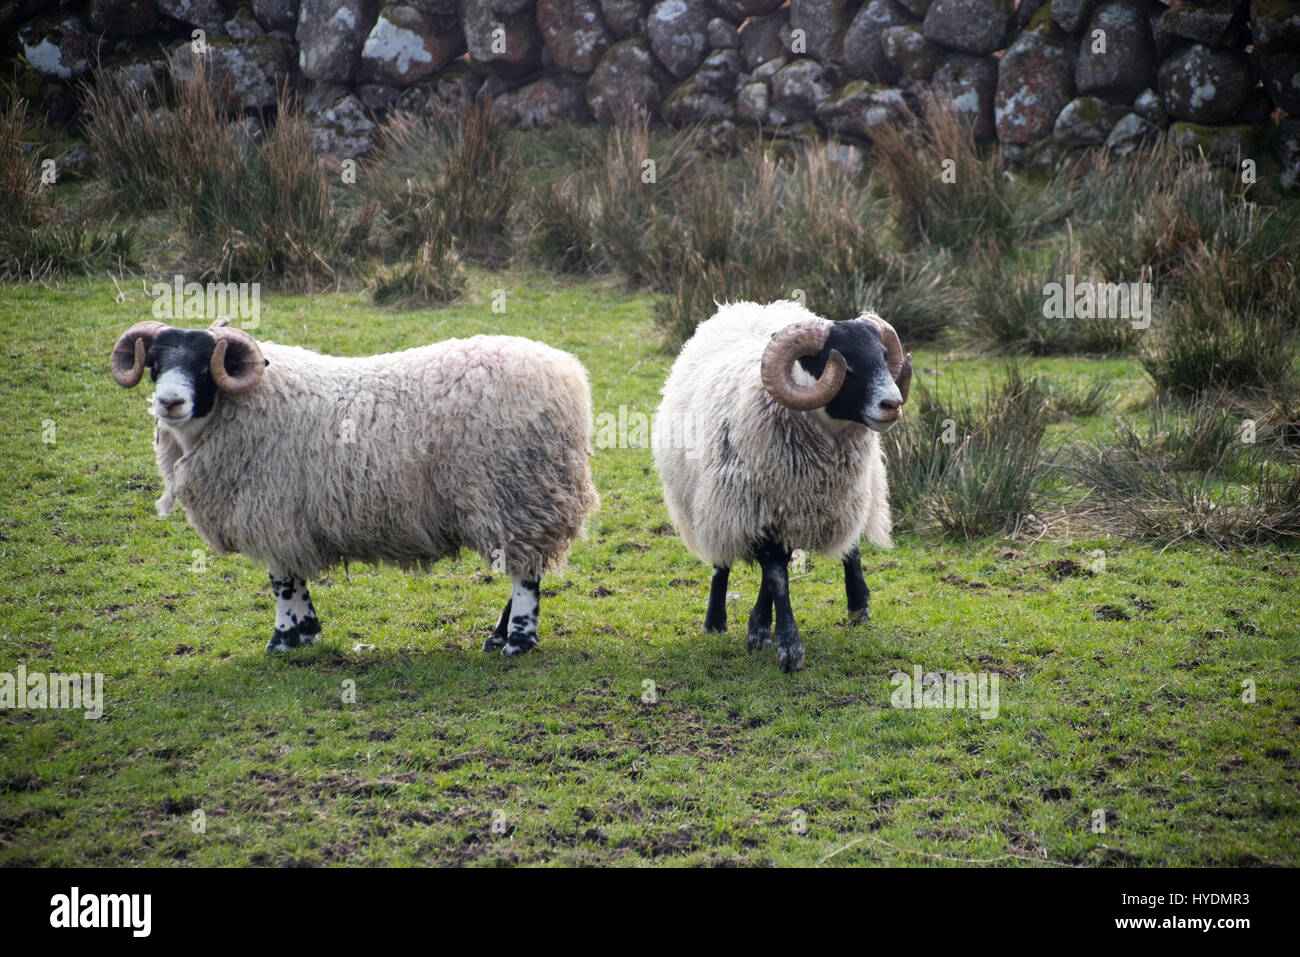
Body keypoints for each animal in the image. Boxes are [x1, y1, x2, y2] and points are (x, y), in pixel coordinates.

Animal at [110, 319, 599, 656]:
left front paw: (282, 640)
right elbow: (296, 579)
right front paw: (307, 631)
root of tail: (566, 372)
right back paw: (498, 636)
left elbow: (281, 581)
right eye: (155, 363)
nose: (169, 402)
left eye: (203, 365)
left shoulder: (272, 513)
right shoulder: (289, 519)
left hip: (518, 493)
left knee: (525, 573)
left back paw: (517, 640)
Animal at [652, 300, 912, 672]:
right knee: (722, 562)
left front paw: (761, 629)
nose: (892, 405)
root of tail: (748, 307)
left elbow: (777, 572)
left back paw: (856, 606)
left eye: (882, 357)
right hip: (716, 502)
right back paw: (714, 621)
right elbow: (775, 575)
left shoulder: (796, 508)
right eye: (845, 365)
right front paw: (786, 646)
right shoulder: (752, 509)